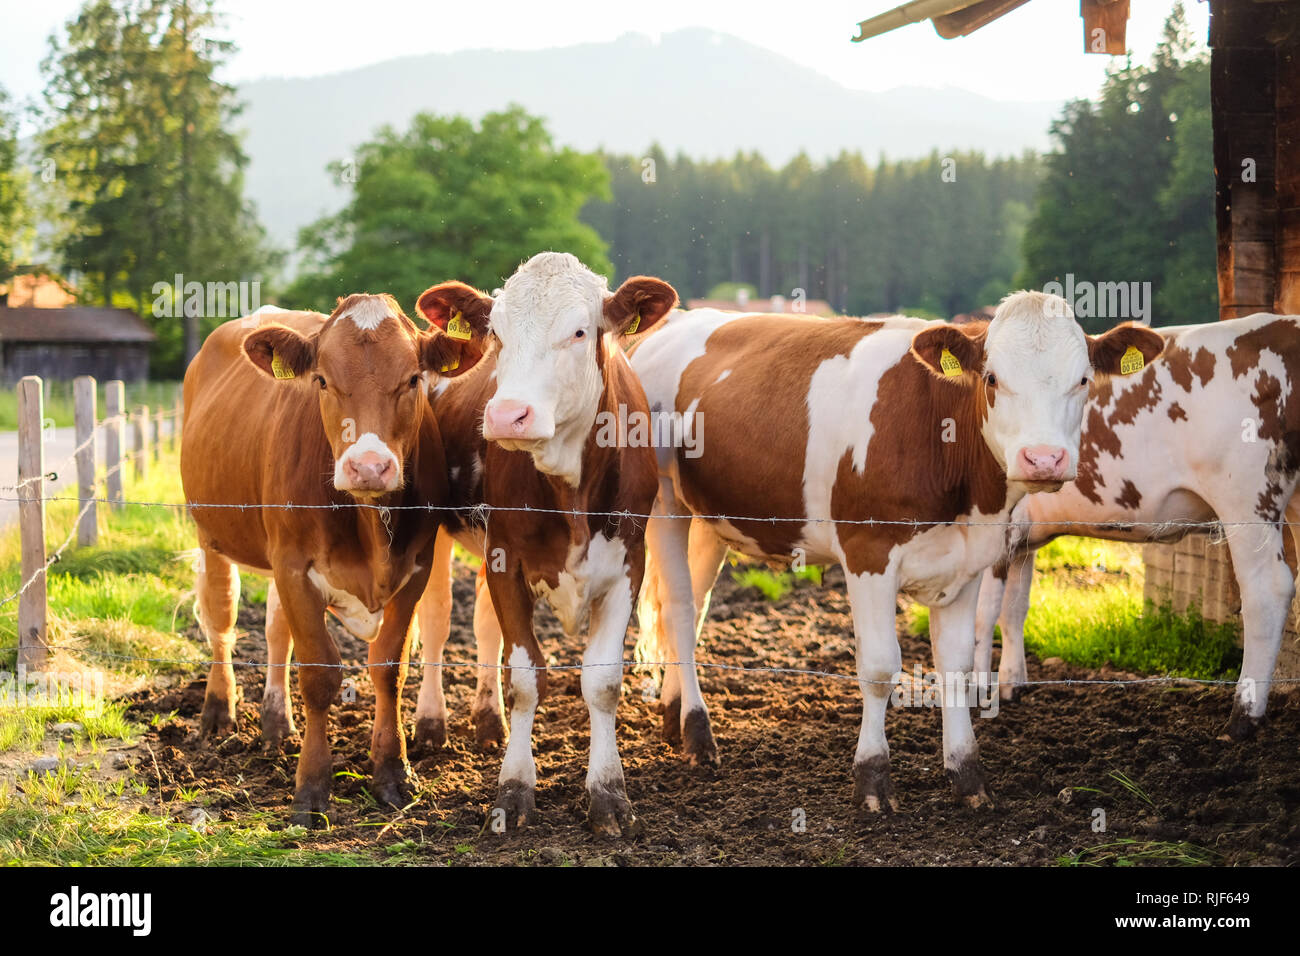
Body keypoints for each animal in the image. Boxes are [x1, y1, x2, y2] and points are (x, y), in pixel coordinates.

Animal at [180, 293, 486, 825]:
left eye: (413, 378)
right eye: (322, 379)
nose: (368, 466)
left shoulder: (415, 569)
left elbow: (389, 668)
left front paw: (393, 773)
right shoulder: (294, 569)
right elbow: (320, 675)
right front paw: (311, 788)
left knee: (275, 631)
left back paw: (276, 724)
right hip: (211, 534)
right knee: (221, 621)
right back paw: (219, 712)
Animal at [410, 252, 677, 836]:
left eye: (578, 331)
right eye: (496, 333)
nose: (507, 414)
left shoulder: (630, 563)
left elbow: (602, 682)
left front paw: (608, 793)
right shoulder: (506, 559)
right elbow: (527, 678)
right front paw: (513, 790)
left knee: (482, 622)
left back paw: (488, 722)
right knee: (437, 621)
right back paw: (430, 726)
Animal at [631, 293, 1164, 810]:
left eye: (1083, 379)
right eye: (992, 378)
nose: (1044, 459)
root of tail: (674, 322)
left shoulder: (969, 562)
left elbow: (957, 667)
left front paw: (967, 776)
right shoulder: (868, 554)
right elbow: (880, 668)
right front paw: (872, 779)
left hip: (710, 517)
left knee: (695, 605)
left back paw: (674, 714)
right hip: (665, 504)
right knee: (678, 609)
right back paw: (697, 733)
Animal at [974, 313, 1300, 738]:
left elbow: (982, 615)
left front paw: (976, 693)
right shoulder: (1023, 538)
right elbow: (1014, 609)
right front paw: (1011, 685)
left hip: (1246, 494)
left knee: (1267, 590)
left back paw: (1243, 717)